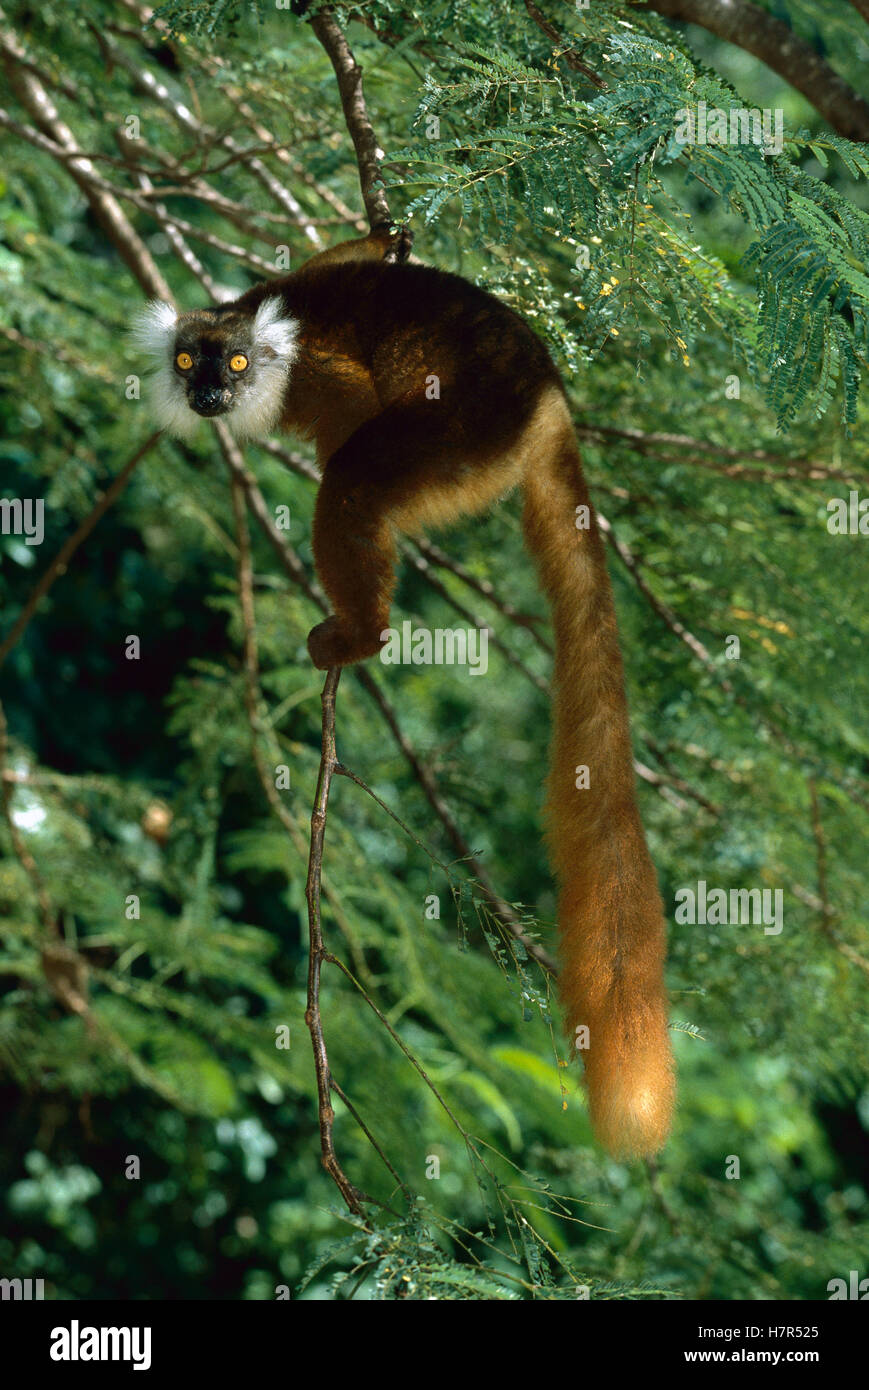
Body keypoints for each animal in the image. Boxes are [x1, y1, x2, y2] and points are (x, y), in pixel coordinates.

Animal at [135, 223, 675, 1159]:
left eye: (234, 364)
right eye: (185, 359)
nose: (207, 394)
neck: (261, 329)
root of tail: (545, 397)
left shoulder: (315, 371)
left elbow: (347, 424)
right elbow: (344, 257)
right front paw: (384, 234)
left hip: (459, 431)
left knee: (355, 478)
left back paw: (359, 633)